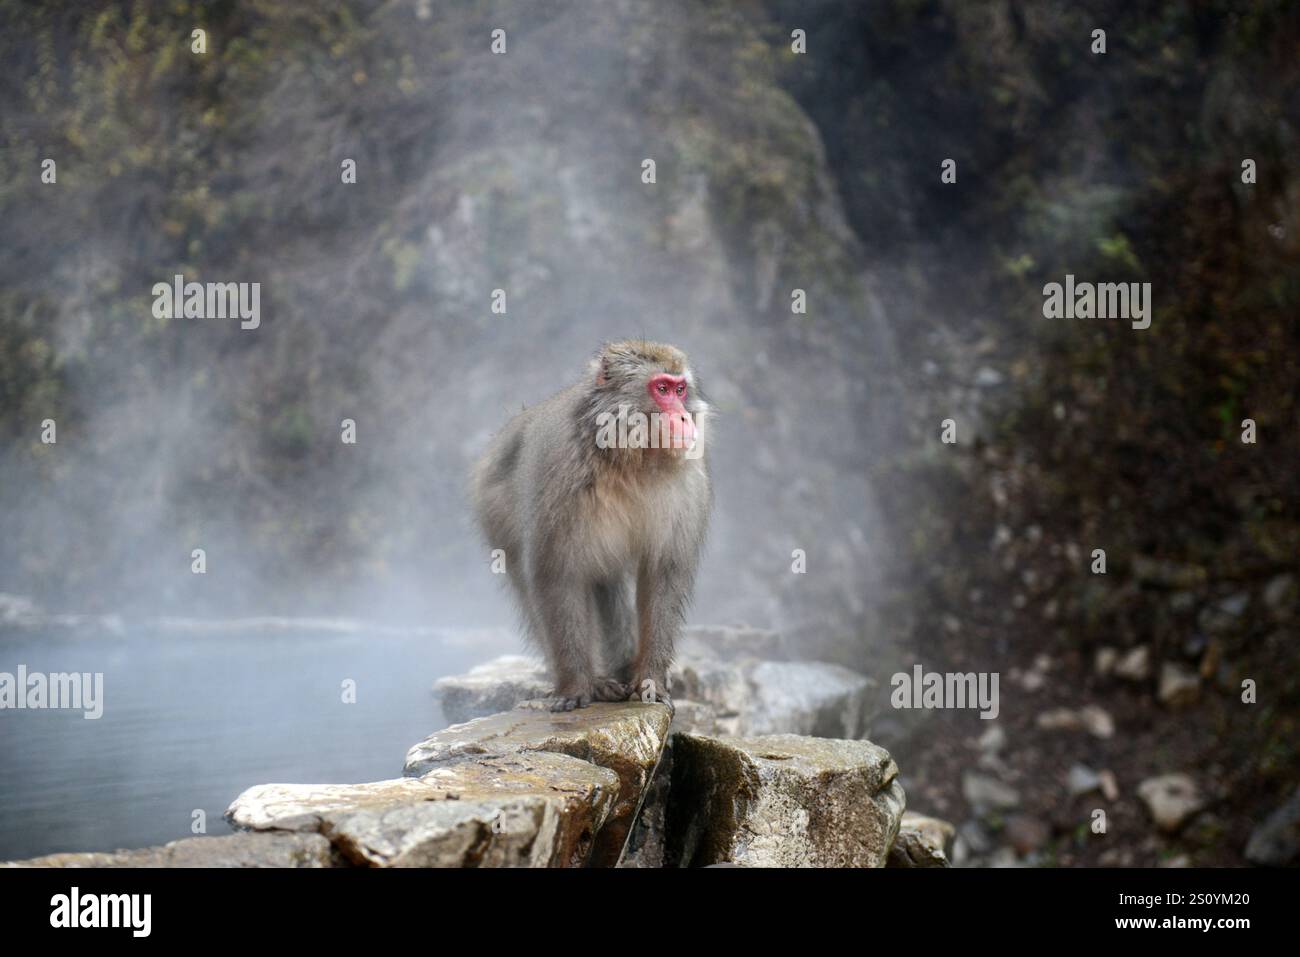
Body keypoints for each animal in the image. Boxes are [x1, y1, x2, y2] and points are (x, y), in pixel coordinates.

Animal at [470, 340, 712, 712]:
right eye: (661, 389)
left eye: (680, 389)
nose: (685, 417)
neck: (629, 458)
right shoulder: (561, 472)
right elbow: (554, 573)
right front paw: (575, 686)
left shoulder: (688, 484)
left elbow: (664, 573)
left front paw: (650, 681)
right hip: (494, 510)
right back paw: (596, 681)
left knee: (606, 582)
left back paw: (624, 667)